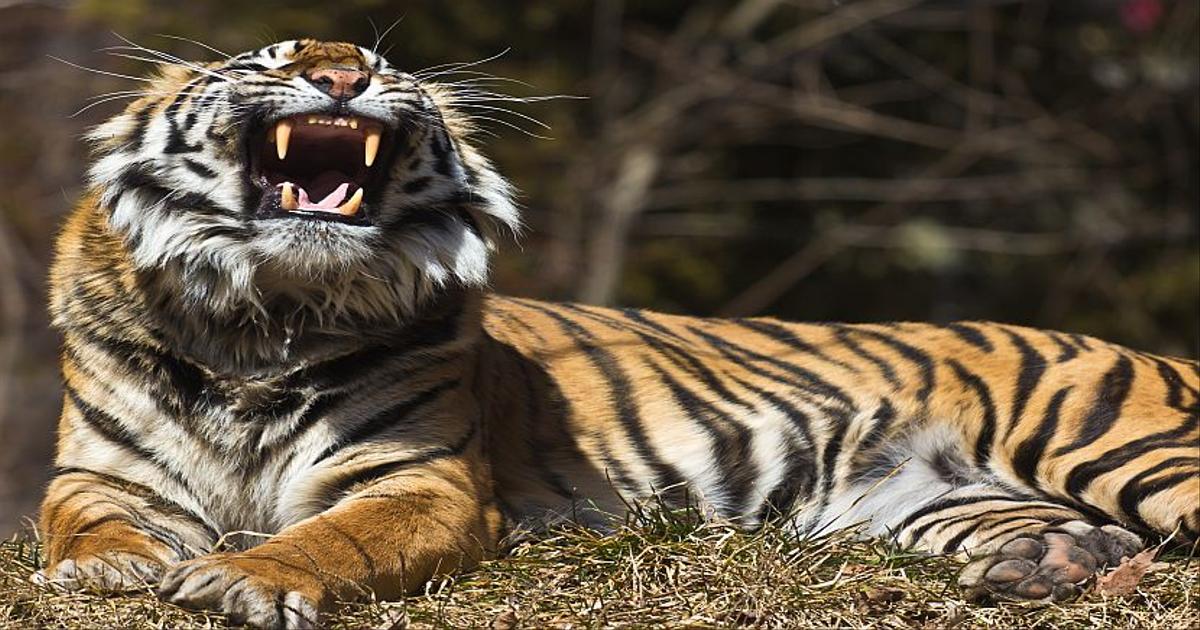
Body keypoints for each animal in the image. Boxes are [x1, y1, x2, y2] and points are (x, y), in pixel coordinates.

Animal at [34, 38, 1198, 628]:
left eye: (379, 60)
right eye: (272, 55)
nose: (342, 75)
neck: (265, 317)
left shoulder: (420, 482)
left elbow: (333, 538)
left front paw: (244, 578)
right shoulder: (100, 475)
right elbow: (86, 526)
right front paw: (107, 574)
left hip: (1113, 439)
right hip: (935, 499)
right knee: (1080, 538)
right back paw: (1052, 565)